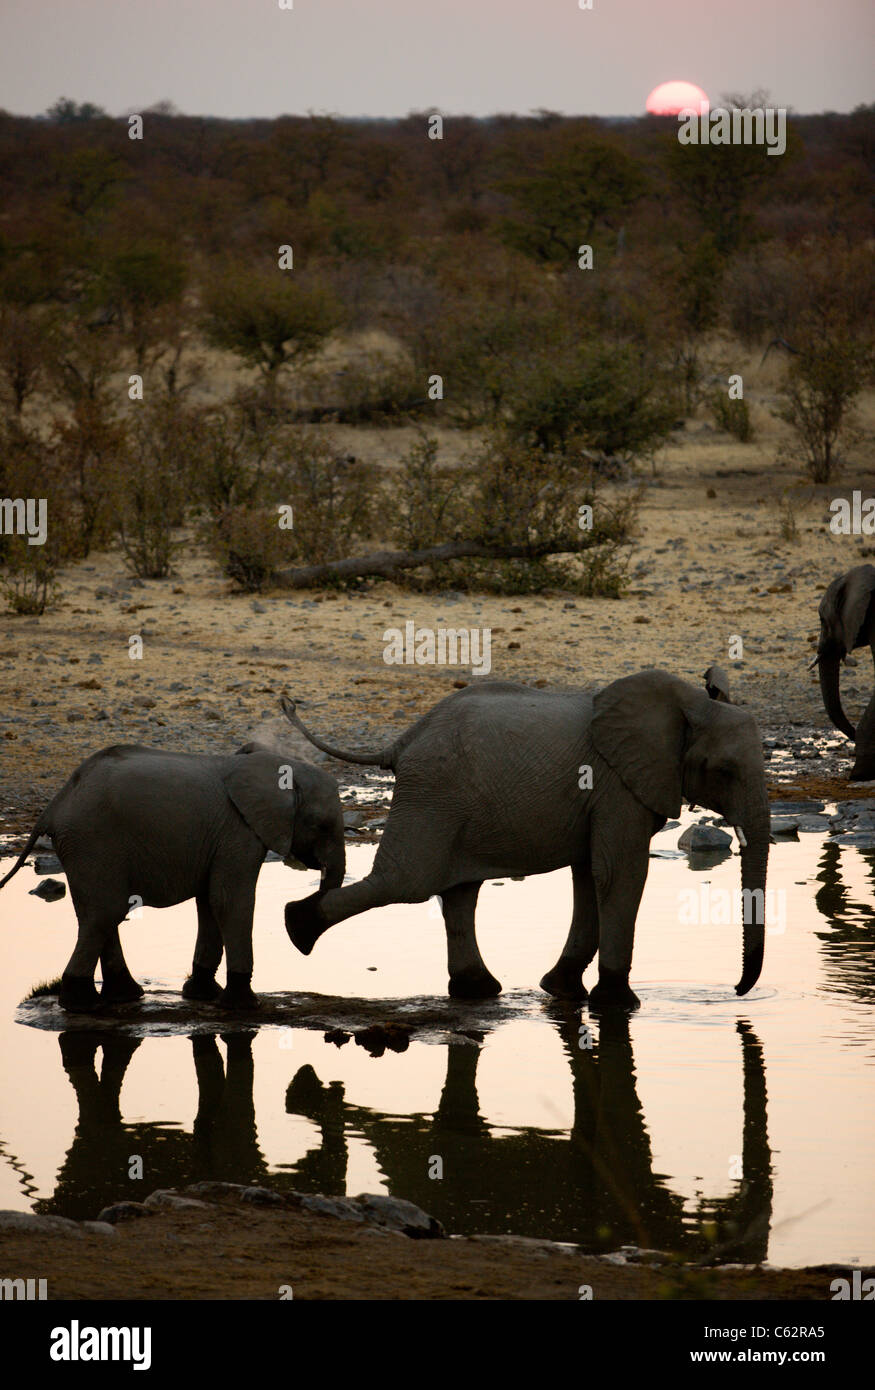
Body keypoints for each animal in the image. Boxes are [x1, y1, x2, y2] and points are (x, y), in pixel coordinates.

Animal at [0, 739, 346, 1013]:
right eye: (321, 825)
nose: (296, 921)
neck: (284, 766)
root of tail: (55, 805)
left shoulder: (221, 839)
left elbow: (209, 902)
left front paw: (203, 995)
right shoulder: (239, 831)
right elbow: (231, 901)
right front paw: (244, 1004)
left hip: (84, 846)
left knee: (99, 912)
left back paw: (124, 996)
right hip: (93, 839)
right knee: (104, 912)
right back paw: (83, 1004)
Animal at [281, 669, 770, 1008]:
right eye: (725, 771)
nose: (736, 991)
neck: (689, 704)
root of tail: (402, 741)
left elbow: (590, 875)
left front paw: (562, 991)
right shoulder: (619, 787)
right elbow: (621, 873)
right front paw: (619, 1004)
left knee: (459, 892)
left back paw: (477, 991)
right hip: (432, 792)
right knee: (407, 881)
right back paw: (297, 927)